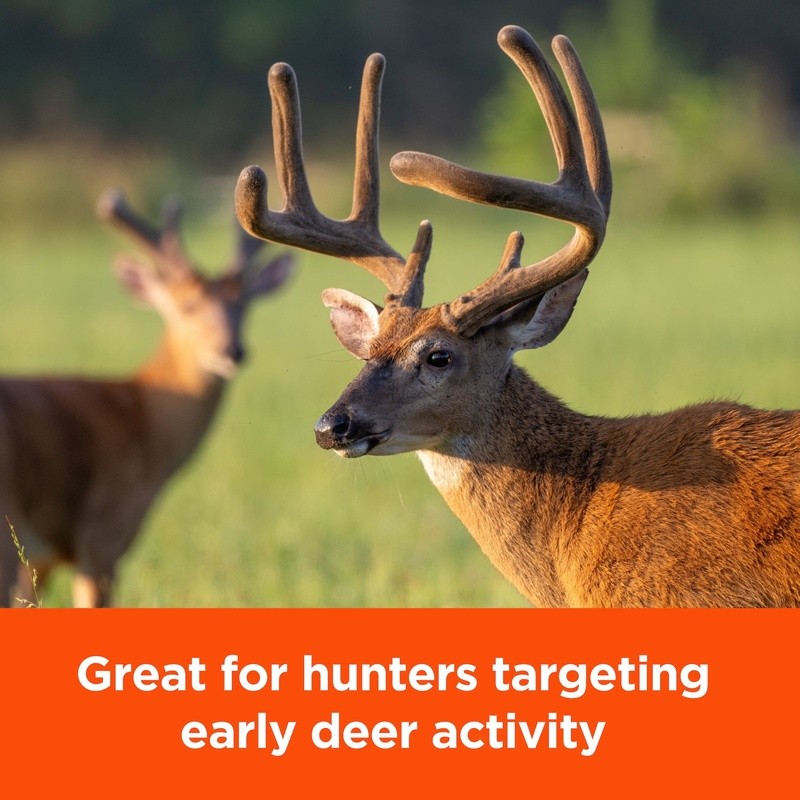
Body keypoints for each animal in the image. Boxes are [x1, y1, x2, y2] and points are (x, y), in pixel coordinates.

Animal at [0, 191, 293, 607]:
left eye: (245, 304)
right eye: (187, 306)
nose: (231, 351)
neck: (143, 417)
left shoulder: (43, 558)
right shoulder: (104, 530)